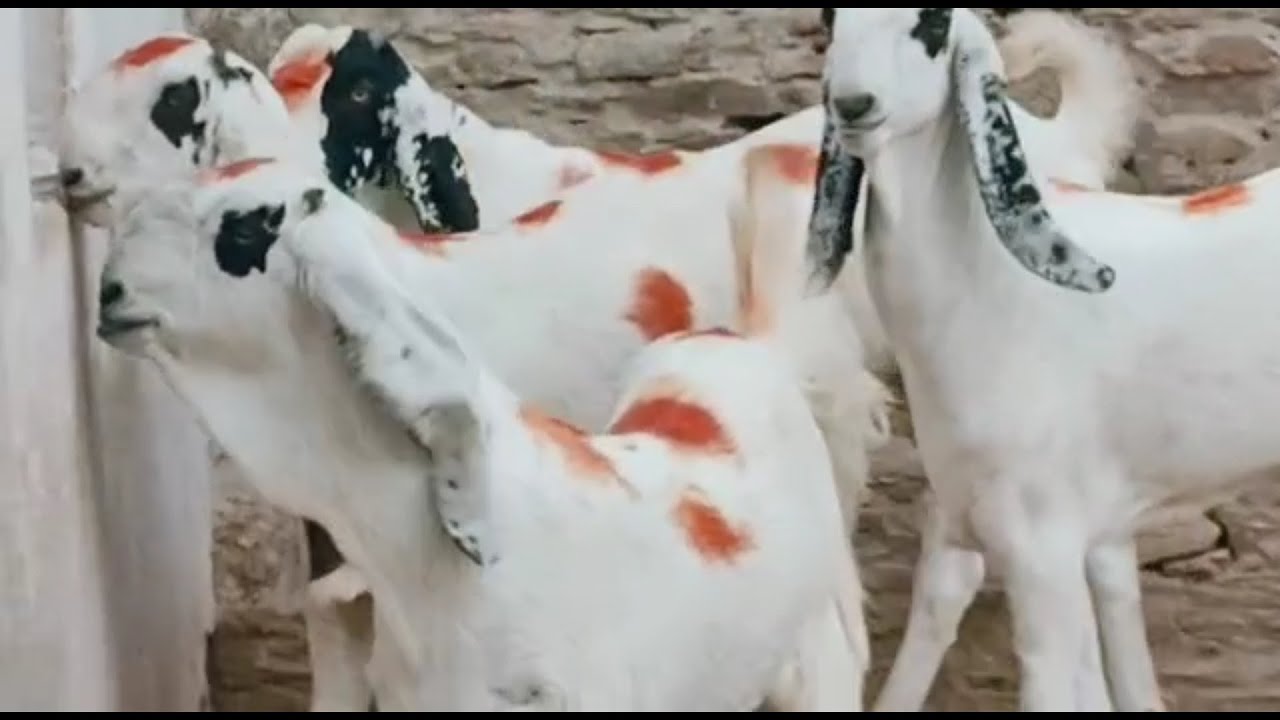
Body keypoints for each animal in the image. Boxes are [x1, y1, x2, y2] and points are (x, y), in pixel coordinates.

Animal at [805, 7, 1273, 712]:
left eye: (932, 24)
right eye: (831, 17)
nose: (854, 104)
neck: (994, 287)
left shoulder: (1043, 549)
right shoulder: (997, 522)